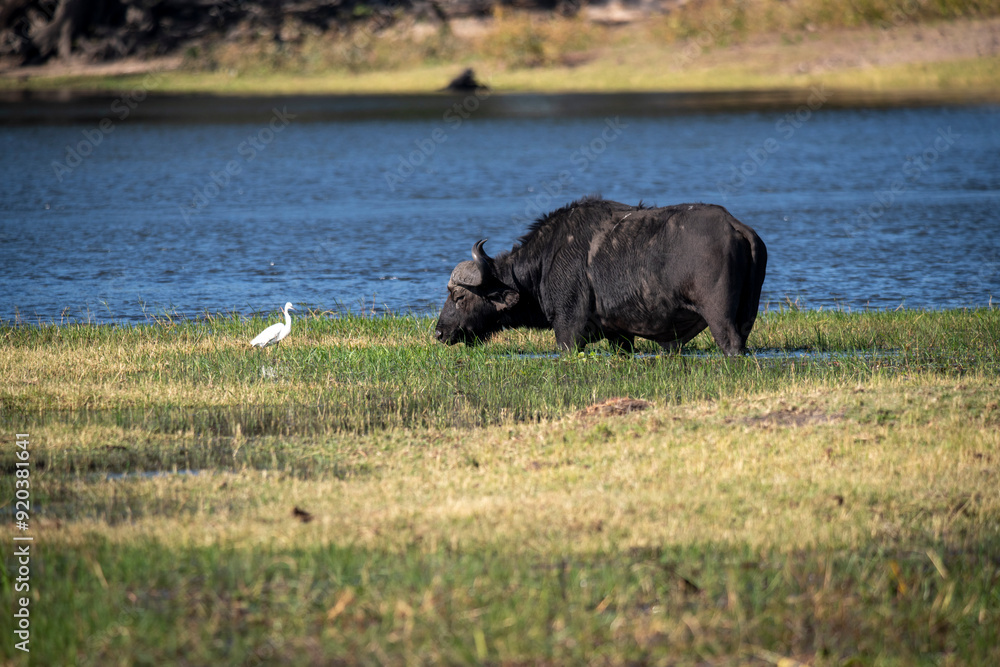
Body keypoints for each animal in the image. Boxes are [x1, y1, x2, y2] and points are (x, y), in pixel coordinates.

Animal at [434, 197, 767, 356]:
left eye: (458, 295)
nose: (439, 333)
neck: (546, 260)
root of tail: (735, 225)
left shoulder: (568, 329)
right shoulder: (620, 336)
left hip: (720, 318)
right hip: (747, 316)